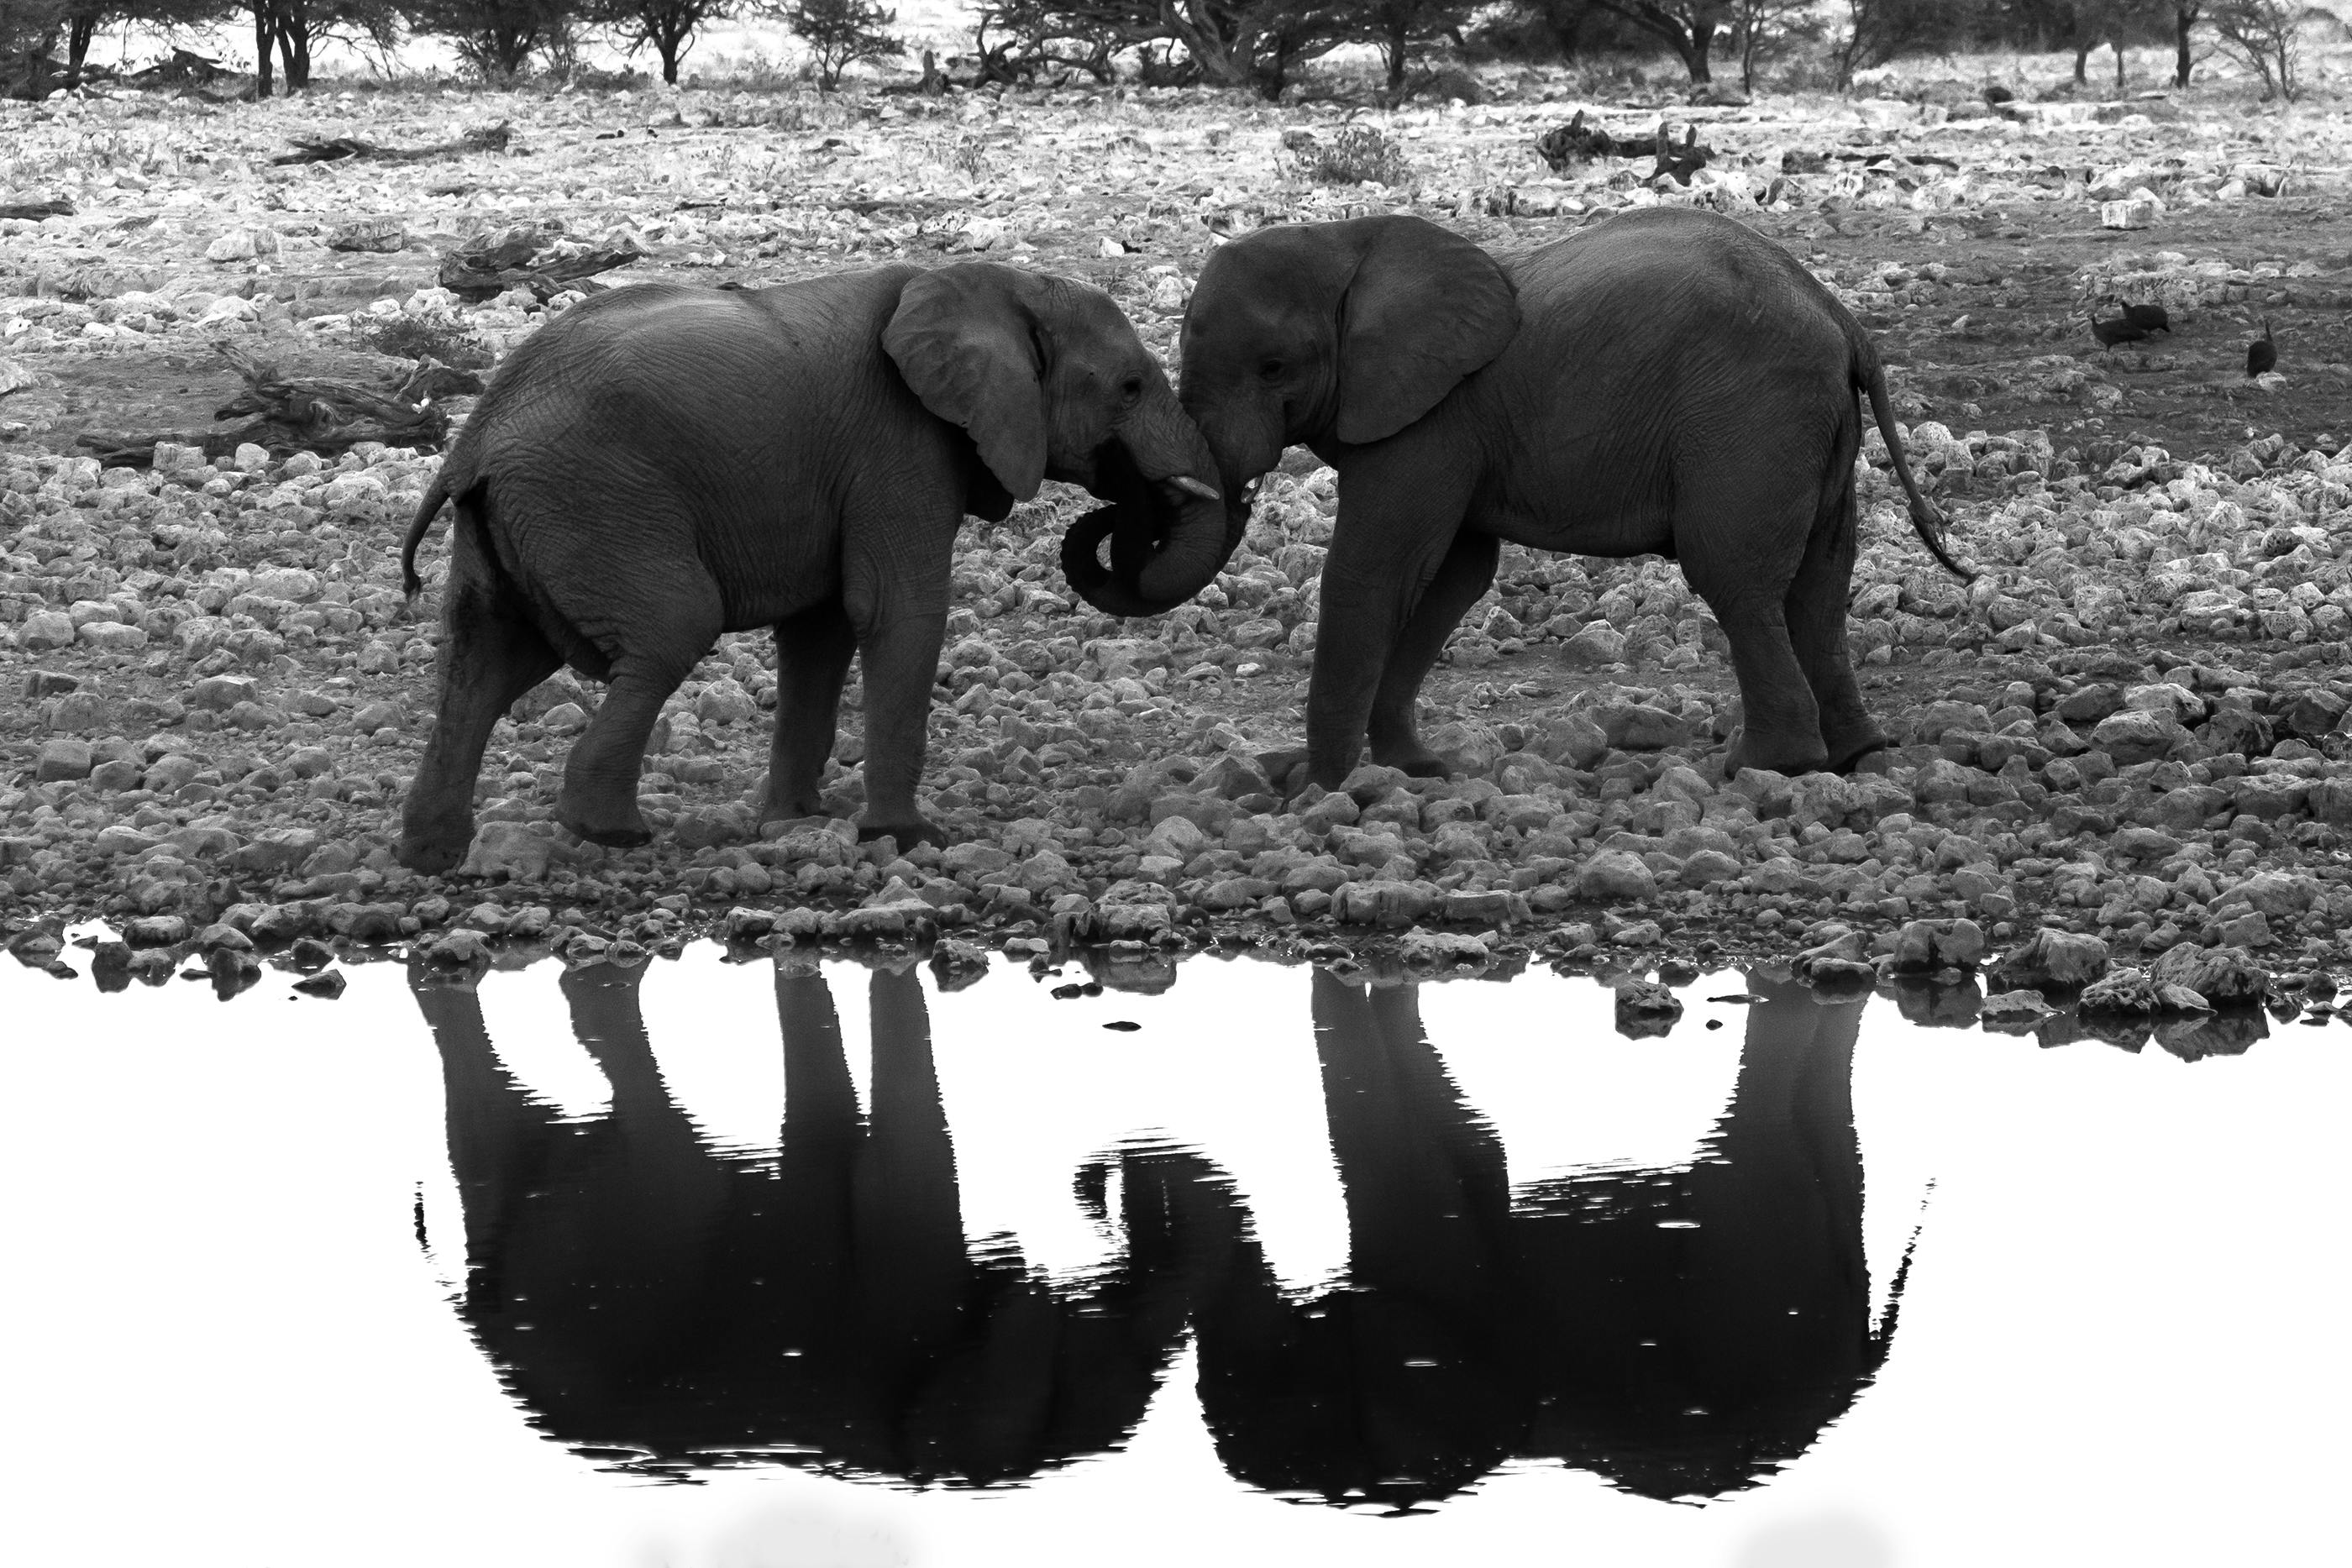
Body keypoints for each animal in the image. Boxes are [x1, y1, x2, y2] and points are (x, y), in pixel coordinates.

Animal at [395, 263, 1240, 873]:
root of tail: (473, 437)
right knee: (671, 628)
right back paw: (609, 833)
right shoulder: (899, 444)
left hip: (525, 519)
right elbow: (898, 612)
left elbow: (822, 630)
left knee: (485, 661)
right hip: (596, 500)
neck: (997, 283)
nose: (1134, 497)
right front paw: (908, 838)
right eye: (1130, 387)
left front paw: (798, 823)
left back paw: (433, 855)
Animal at [408, 954, 1243, 1484]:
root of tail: (490, 1327)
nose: (1101, 1181)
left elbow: (825, 1123)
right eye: (1112, 1357)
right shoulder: (906, 1286)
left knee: (485, 1125)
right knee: (655, 1135)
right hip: (642, 1241)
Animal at [1074, 207, 1967, 789]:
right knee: (1820, 585)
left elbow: (1373, 568)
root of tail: (1841, 315)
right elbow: (1455, 575)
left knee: (1736, 579)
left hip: (1749, 417)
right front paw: (1416, 768)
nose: (1110, 504)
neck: (1350, 242)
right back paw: (1855, 757)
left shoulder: (1430, 418)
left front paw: (1311, 788)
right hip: (1814, 426)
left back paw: (1763, 767)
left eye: (1273, 368)